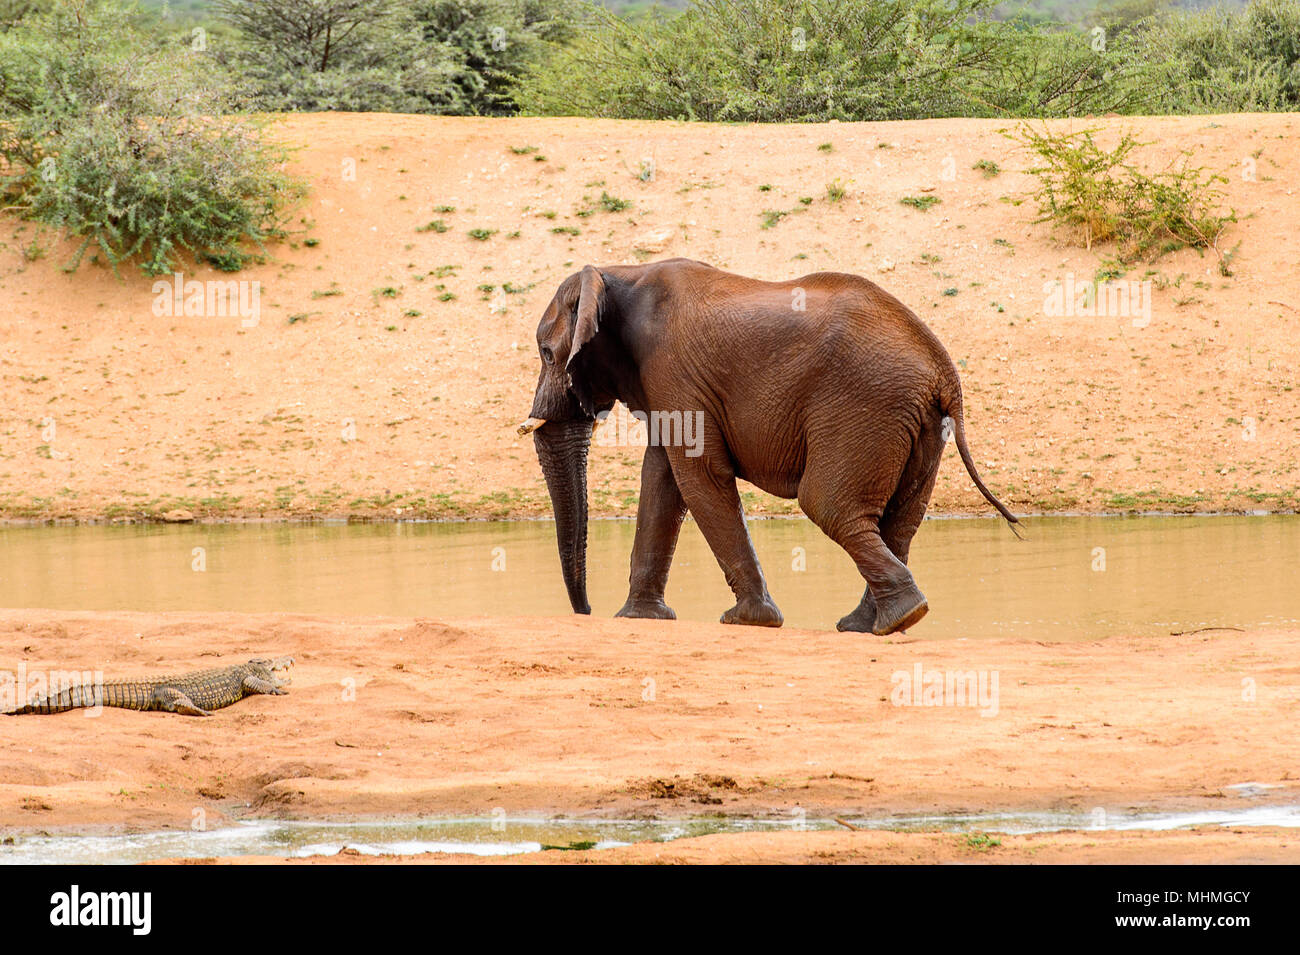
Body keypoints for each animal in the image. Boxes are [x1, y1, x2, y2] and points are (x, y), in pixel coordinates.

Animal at [518, 258, 1018, 635]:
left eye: (546, 353)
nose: (585, 613)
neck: (617, 272)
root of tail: (942, 366)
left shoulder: (673, 369)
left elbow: (697, 475)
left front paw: (747, 619)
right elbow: (663, 477)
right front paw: (639, 618)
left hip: (866, 405)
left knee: (828, 505)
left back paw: (895, 617)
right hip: (921, 423)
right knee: (900, 520)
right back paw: (874, 623)